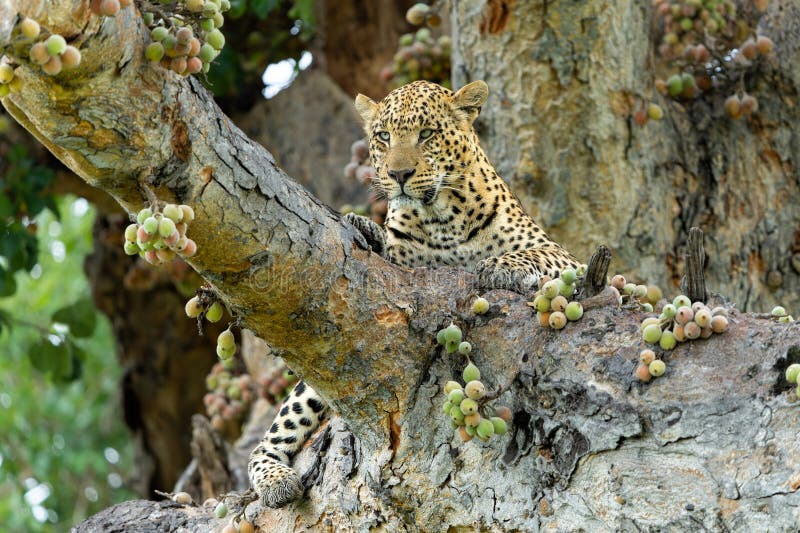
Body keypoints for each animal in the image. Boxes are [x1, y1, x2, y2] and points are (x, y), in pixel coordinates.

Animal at [248, 79, 580, 508]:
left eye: (427, 135)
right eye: (383, 137)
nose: (399, 173)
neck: (443, 217)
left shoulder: (564, 254)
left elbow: (531, 253)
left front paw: (499, 266)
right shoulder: (403, 267)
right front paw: (365, 229)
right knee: (272, 437)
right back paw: (275, 479)